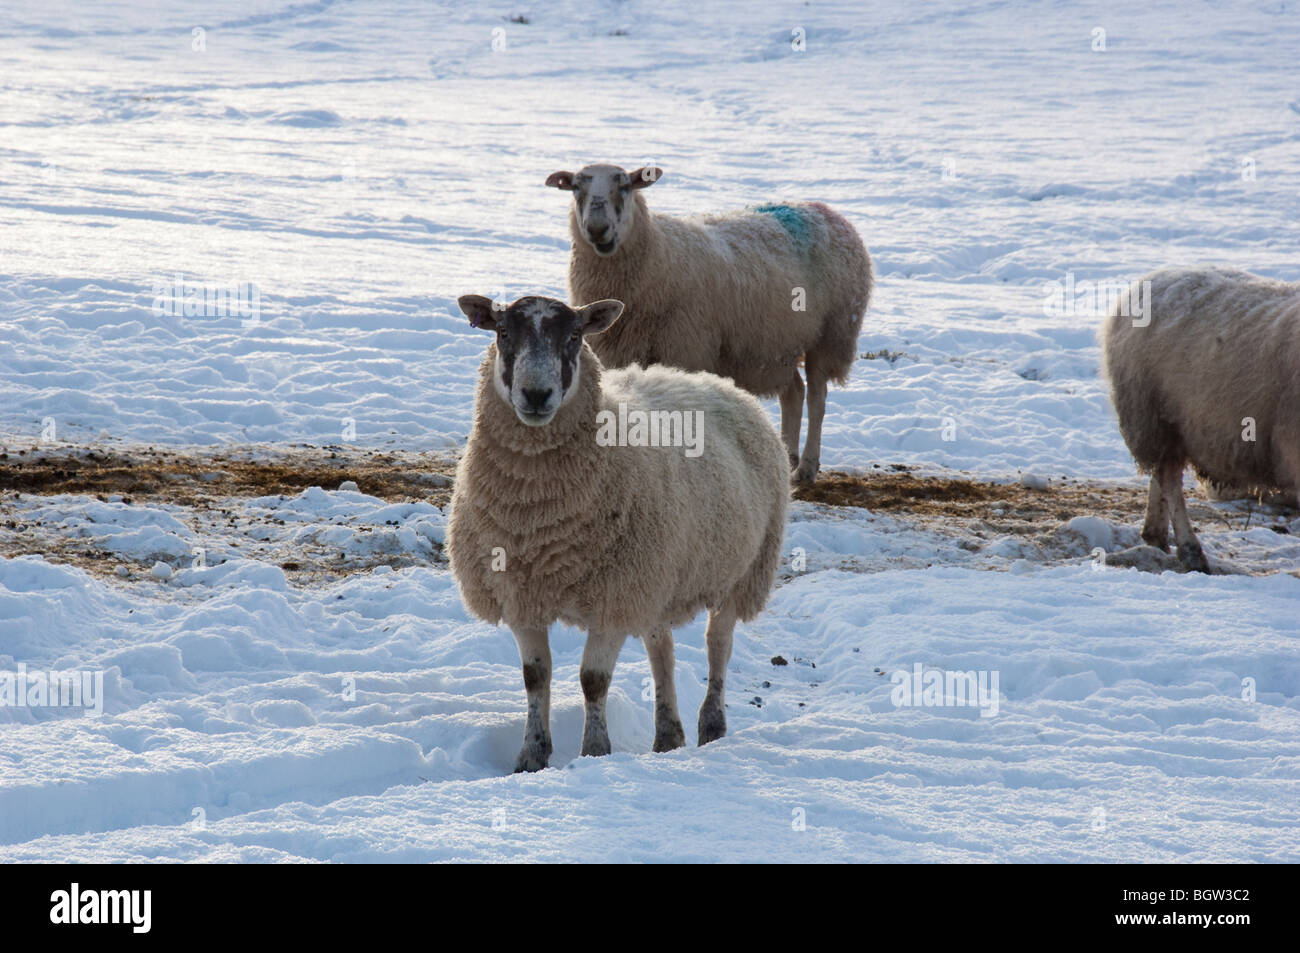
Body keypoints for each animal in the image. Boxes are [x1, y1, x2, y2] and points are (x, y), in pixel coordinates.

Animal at [446, 292, 790, 772]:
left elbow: (593, 680)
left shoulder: (614, 596)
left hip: (741, 571)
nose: (536, 395)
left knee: (717, 644)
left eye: (575, 336)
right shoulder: (522, 593)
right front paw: (531, 755)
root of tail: (712, 381)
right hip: (658, 575)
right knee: (662, 650)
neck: (536, 514)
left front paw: (594, 752)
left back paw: (711, 726)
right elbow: (535, 677)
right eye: (502, 332)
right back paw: (668, 735)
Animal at [545, 163, 873, 484]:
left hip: (831, 334)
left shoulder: (686, 351)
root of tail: (827, 211)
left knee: (817, 399)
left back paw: (807, 466)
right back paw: (787, 458)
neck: (659, 253)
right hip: (776, 343)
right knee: (793, 392)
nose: (597, 229)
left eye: (625, 186)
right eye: (576, 188)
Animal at [1102, 266, 1300, 572]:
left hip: (1167, 425)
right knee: (1169, 481)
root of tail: (1155, 276)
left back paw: (1155, 535)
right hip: (1154, 415)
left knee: (1159, 476)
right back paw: (1190, 551)